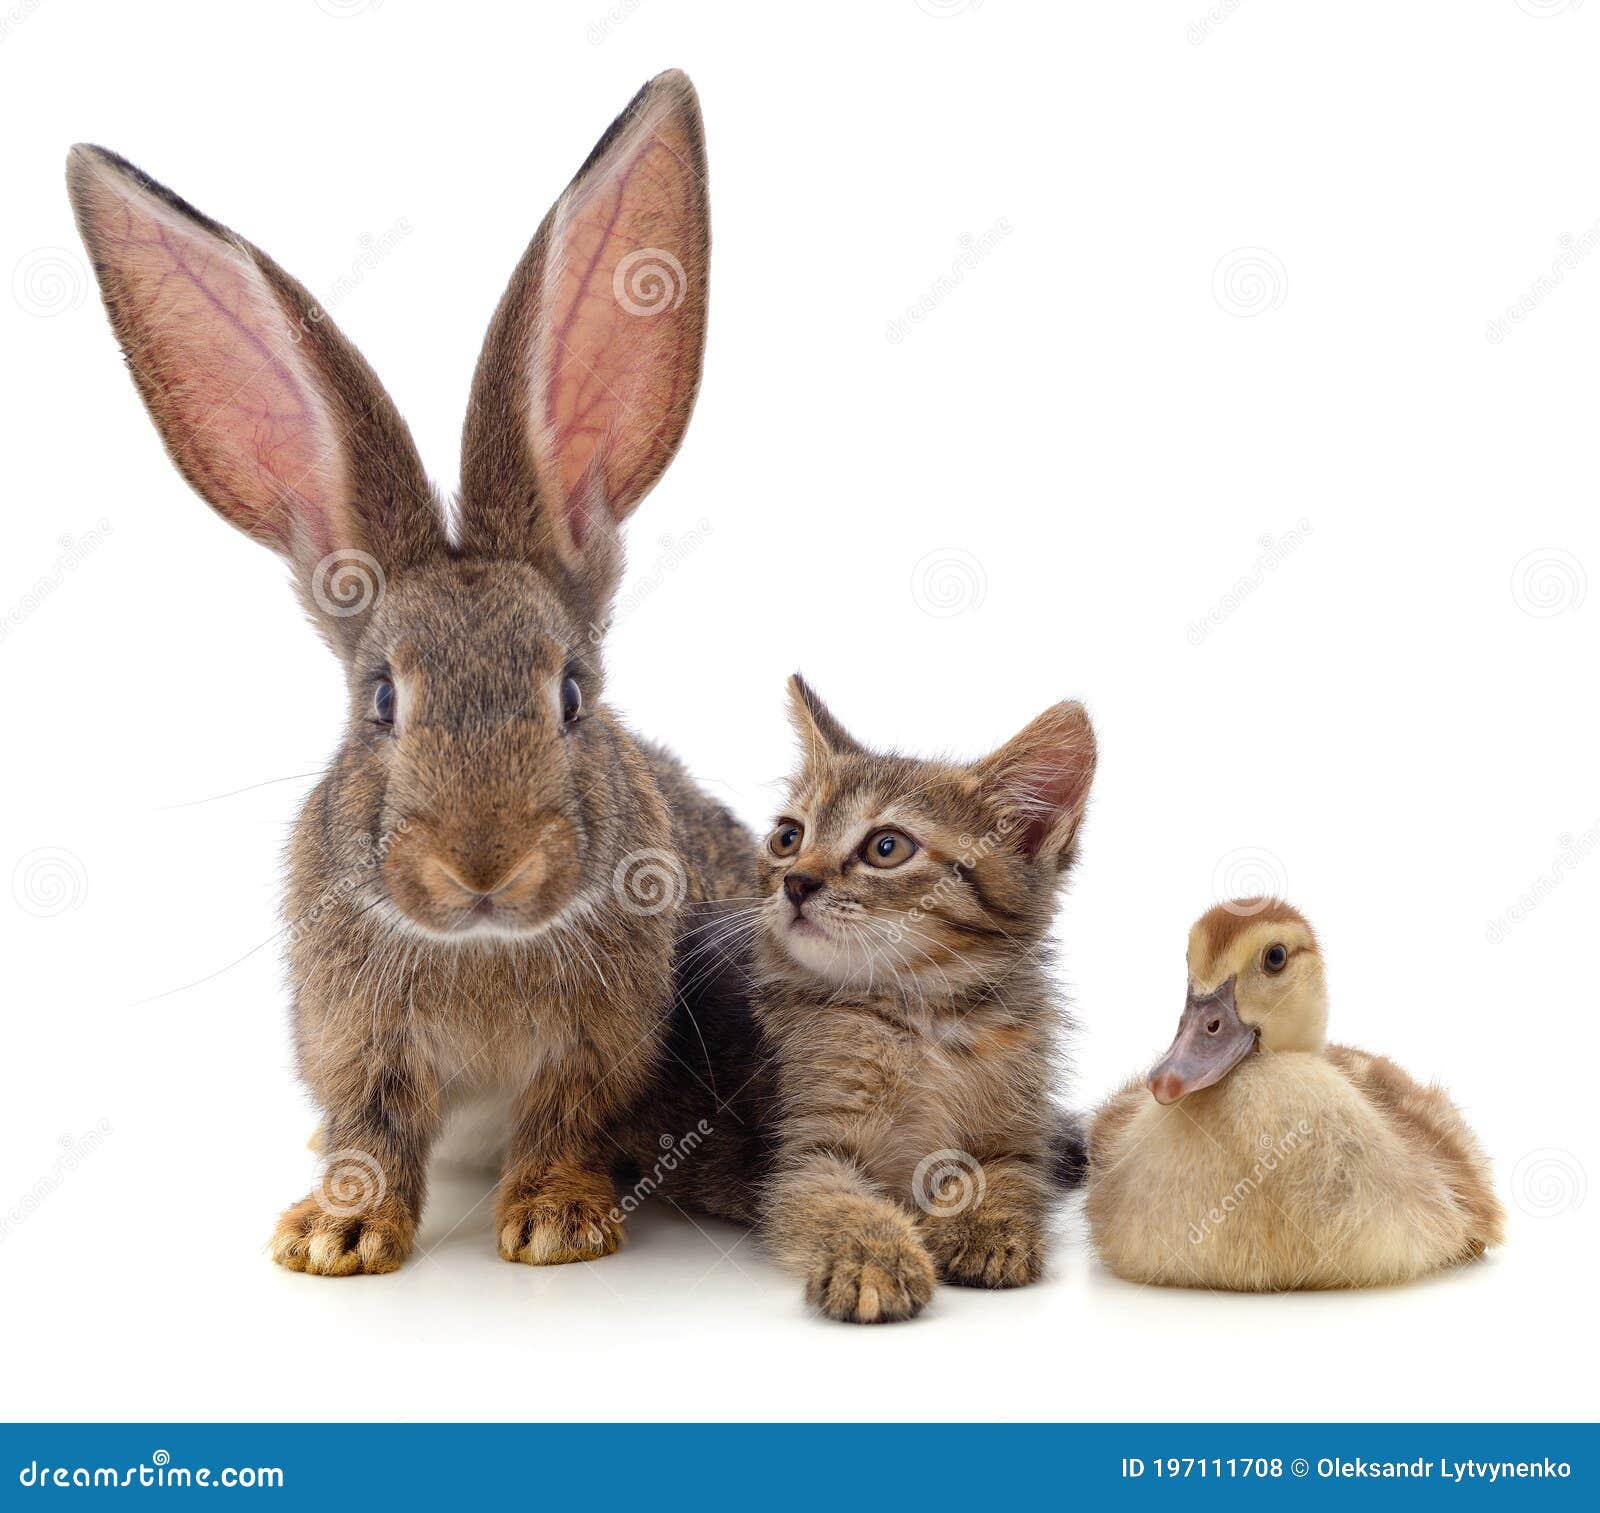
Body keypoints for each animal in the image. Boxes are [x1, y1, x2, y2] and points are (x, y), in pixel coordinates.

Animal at [67, 70, 757, 1275]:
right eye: (383, 699)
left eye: (571, 694)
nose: (482, 863)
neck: (480, 944)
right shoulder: (359, 1045)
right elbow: (372, 1130)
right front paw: (334, 1235)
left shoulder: (597, 1048)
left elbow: (561, 1120)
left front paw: (555, 1224)